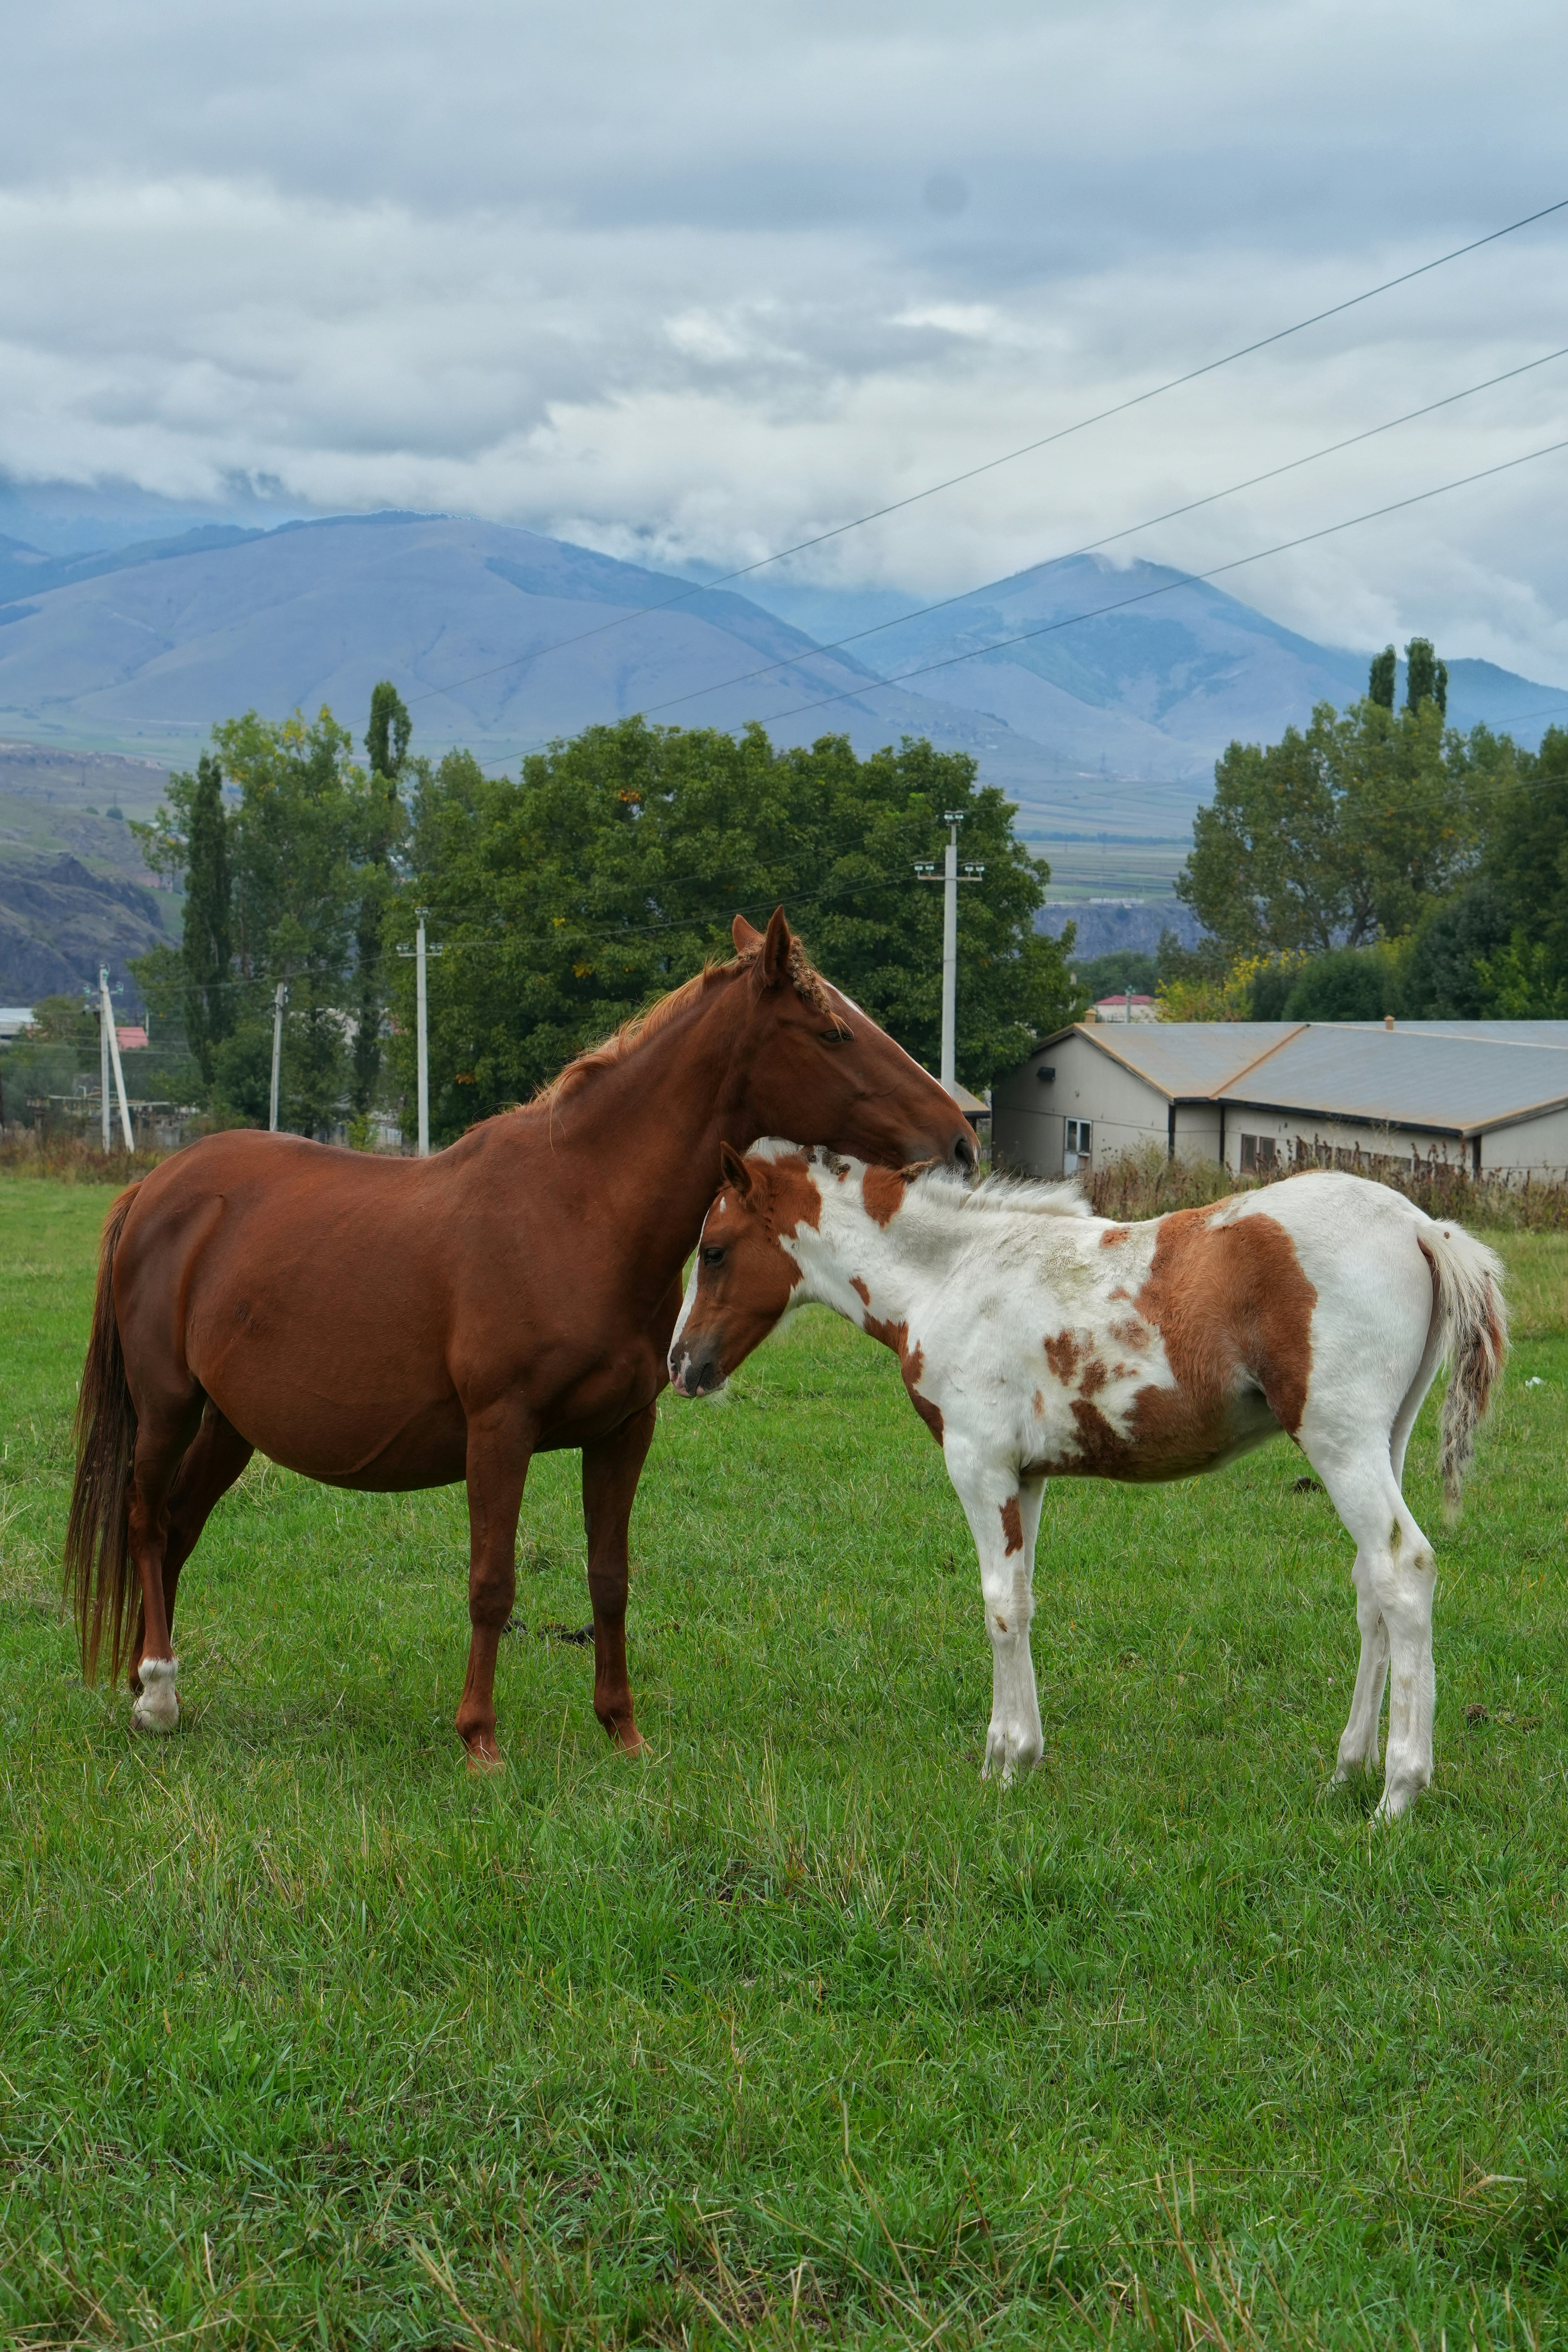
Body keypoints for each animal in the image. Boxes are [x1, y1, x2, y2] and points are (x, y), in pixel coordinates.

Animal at [65, 911, 976, 1766]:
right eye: (832, 1031)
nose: (962, 1141)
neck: (577, 1210)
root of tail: (157, 1187)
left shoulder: (622, 1431)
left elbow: (609, 1579)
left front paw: (622, 1731)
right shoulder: (499, 1430)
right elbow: (492, 1583)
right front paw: (480, 1740)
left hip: (229, 1424)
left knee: (179, 1526)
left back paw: (157, 1683)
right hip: (168, 1407)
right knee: (147, 1521)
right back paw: (156, 1694)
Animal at [667, 1142, 1507, 1819]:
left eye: (713, 1250)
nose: (682, 1364)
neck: (951, 1278)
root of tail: (1419, 1226)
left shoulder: (978, 1464)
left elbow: (999, 1607)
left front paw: (1004, 1764)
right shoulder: (1026, 1477)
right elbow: (1024, 1599)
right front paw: (1018, 1754)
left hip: (1340, 1440)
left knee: (1403, 1568)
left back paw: (1397, 1792)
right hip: (1382, 1439)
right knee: (1372, 1585)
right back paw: (1346, 1771)